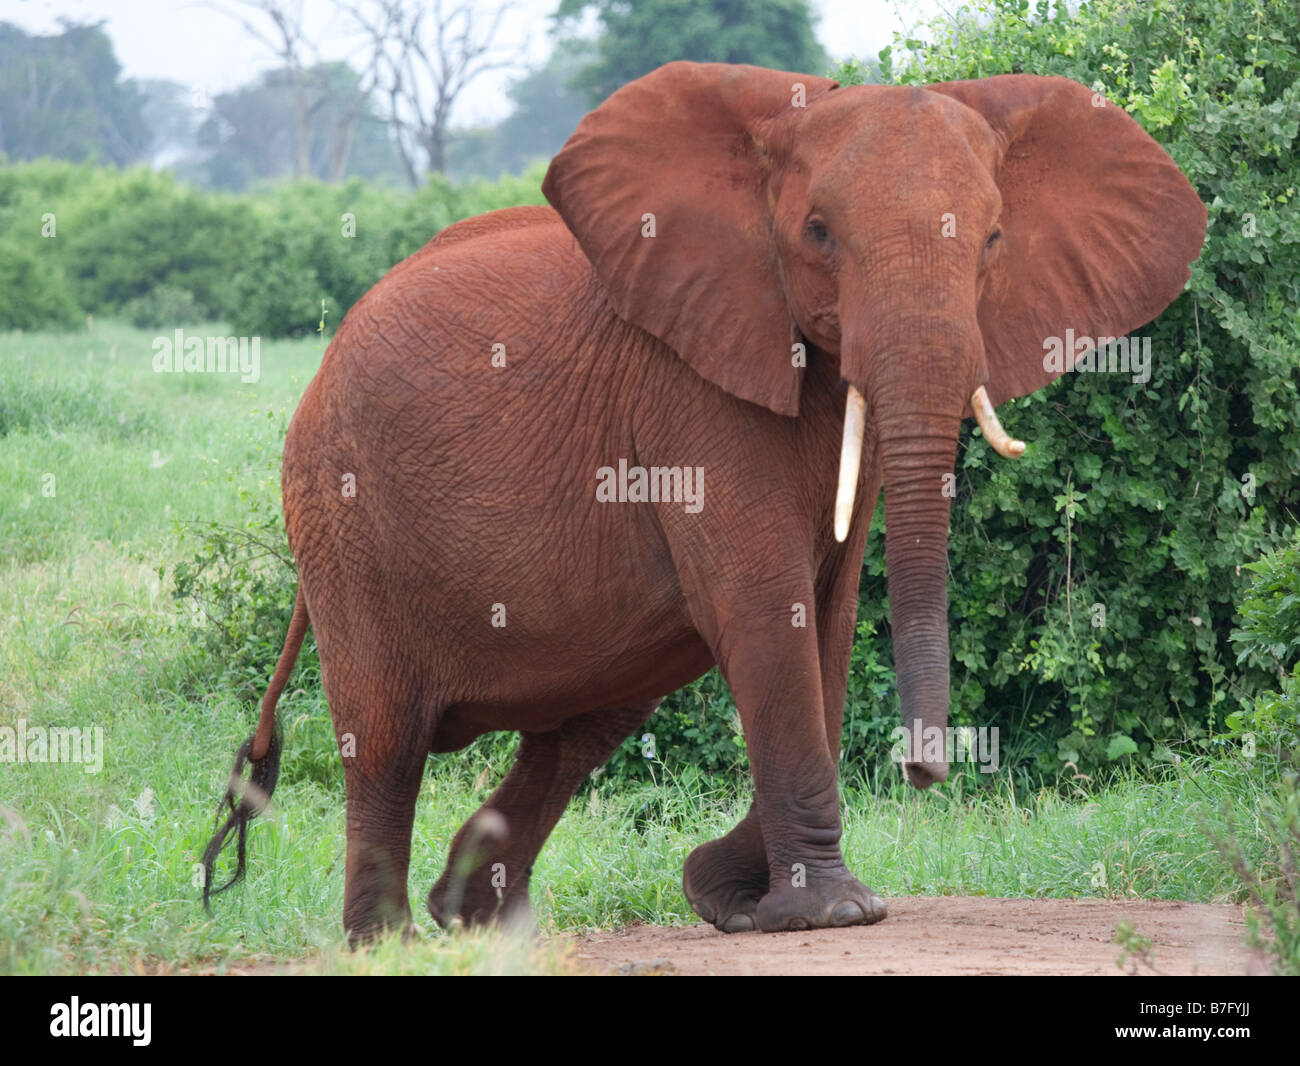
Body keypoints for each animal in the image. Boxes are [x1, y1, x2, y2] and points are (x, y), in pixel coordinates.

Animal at [201, 61, 1206, 943]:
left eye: (994, 241)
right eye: (817, 233)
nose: (926, 768)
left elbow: (827, 620)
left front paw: (727, 896)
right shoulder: (689, 391)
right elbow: (768, 612)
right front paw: (830, 912)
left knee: (590, 718)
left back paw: (488, 922)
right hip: (340, 514)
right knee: (385, 740)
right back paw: (390, 941)